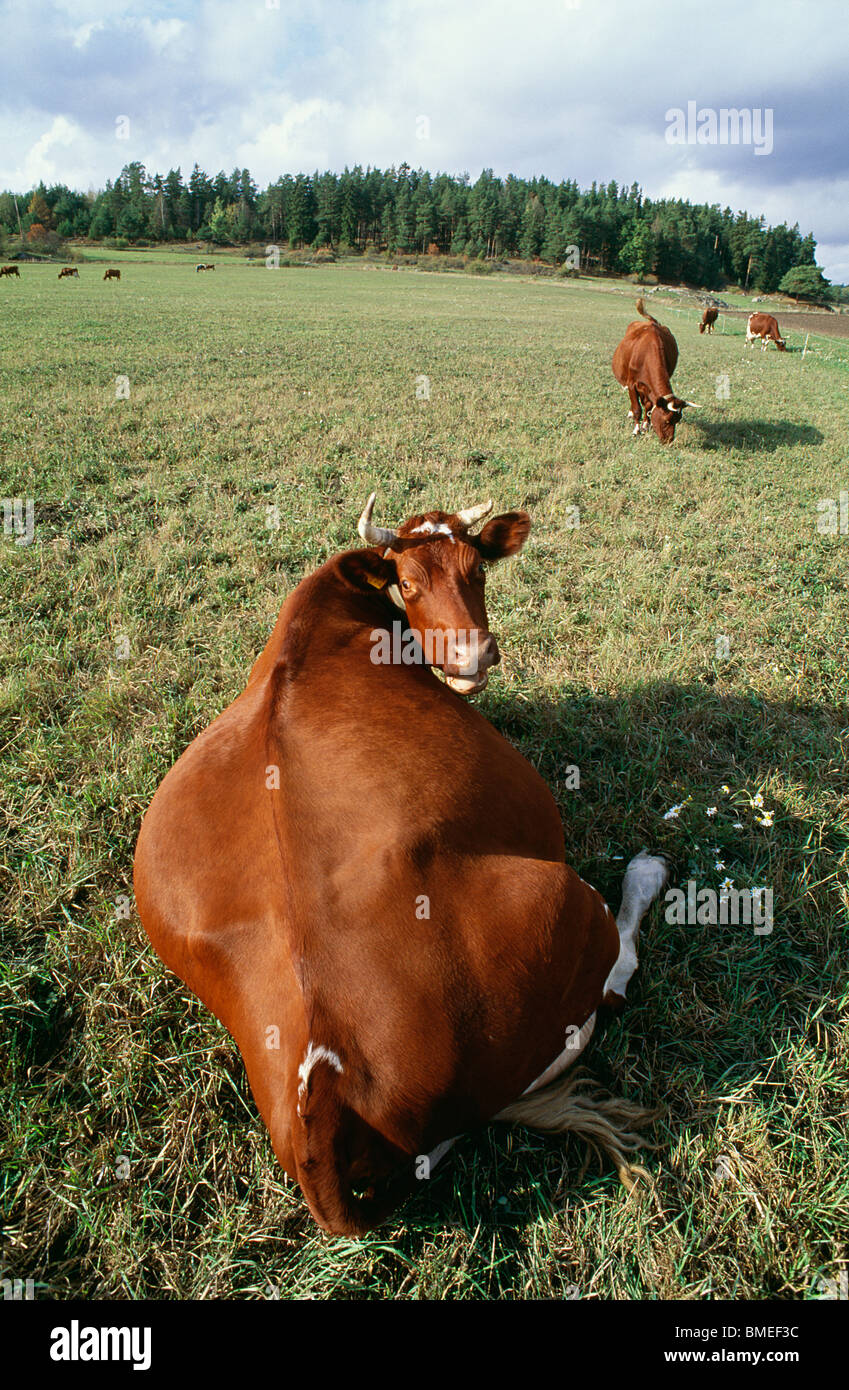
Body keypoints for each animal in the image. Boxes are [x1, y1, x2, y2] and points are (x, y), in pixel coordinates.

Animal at [134, 494, 670, 1236]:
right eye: (408, 584)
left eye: (479, 569)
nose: (472, 653)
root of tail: (321, 1079)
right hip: (562, 905)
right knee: (611, 982)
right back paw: (647, 874)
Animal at [612, 298, 699, 442]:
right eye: (667, 420)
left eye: (678, 420)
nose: (669, 440)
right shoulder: (632, 384)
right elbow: (637, 408)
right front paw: (636, 430)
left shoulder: (649, 389)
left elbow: (648, 406)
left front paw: (645, 425)